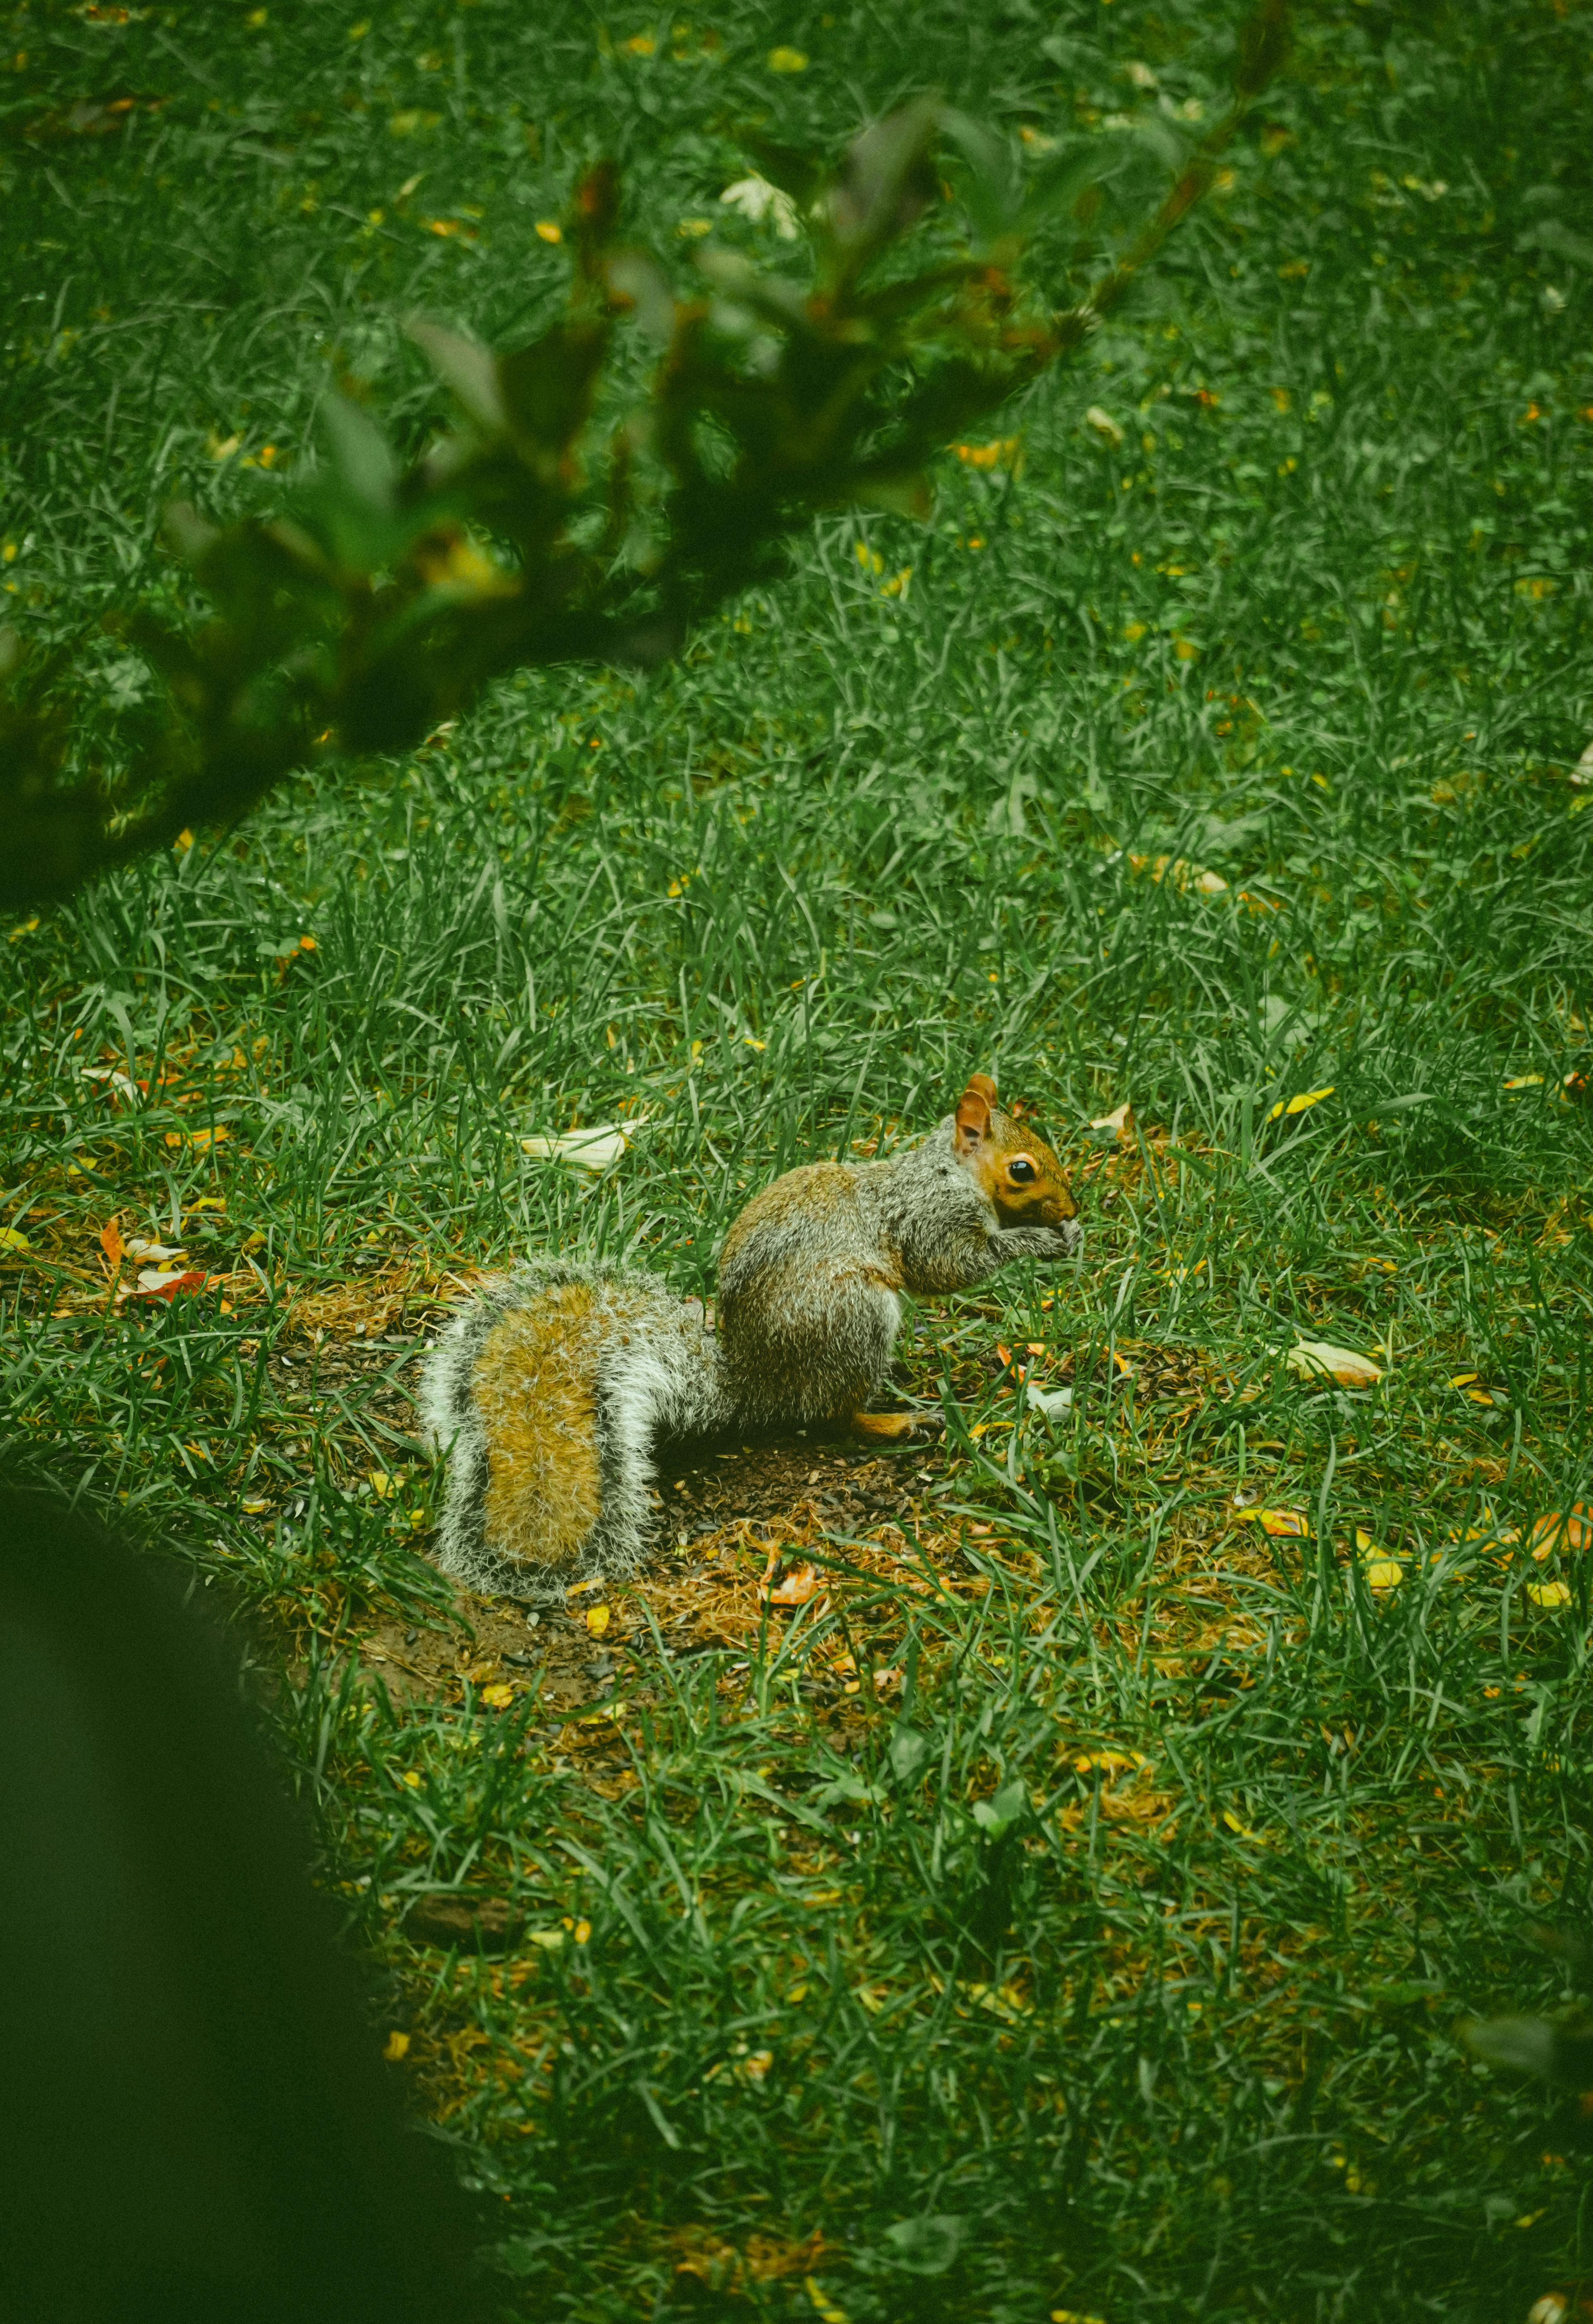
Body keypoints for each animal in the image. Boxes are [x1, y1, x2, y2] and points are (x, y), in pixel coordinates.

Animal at [417, 1072, 1080, 1603]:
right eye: (1022, 1169)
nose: (1074, 1208)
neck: (945, 1170)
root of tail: (756, 1384)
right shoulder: (928, 1217)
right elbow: (947, 1268)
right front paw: (1041, 1243)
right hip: (854, 1318)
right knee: (833, 1418)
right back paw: (893, 1421)